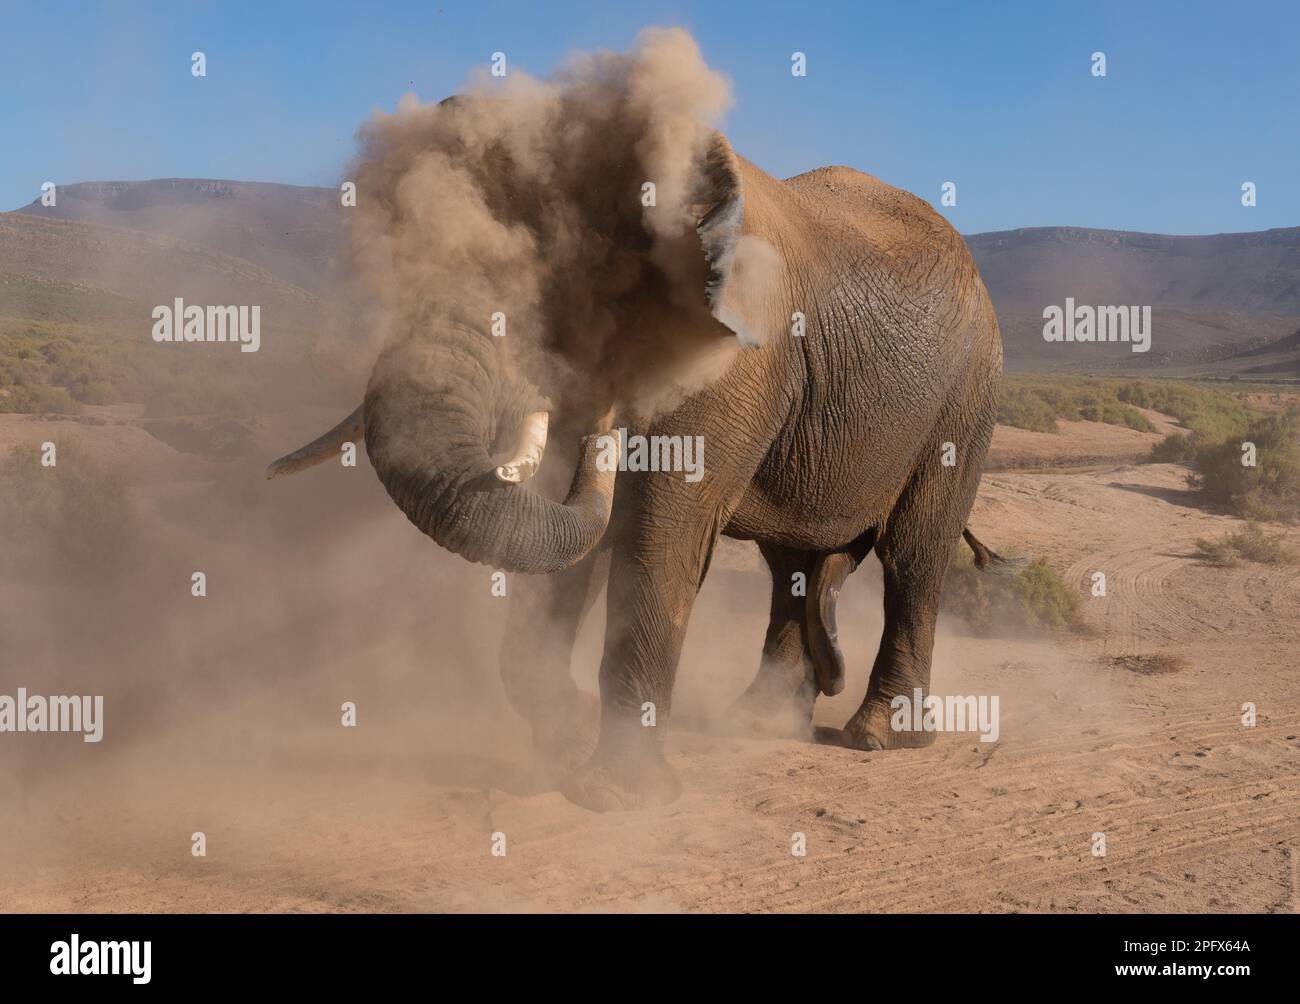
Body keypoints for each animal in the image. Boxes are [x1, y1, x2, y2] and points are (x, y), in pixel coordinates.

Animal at [268, 124, 1008, 812]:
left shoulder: (729, 361)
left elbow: (658, 534)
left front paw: (617, 798)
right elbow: (573, 544)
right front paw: (566, 739)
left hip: (967, 396)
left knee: (913, 555)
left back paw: (878, 738)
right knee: (793, 566)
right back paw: (759, 723)